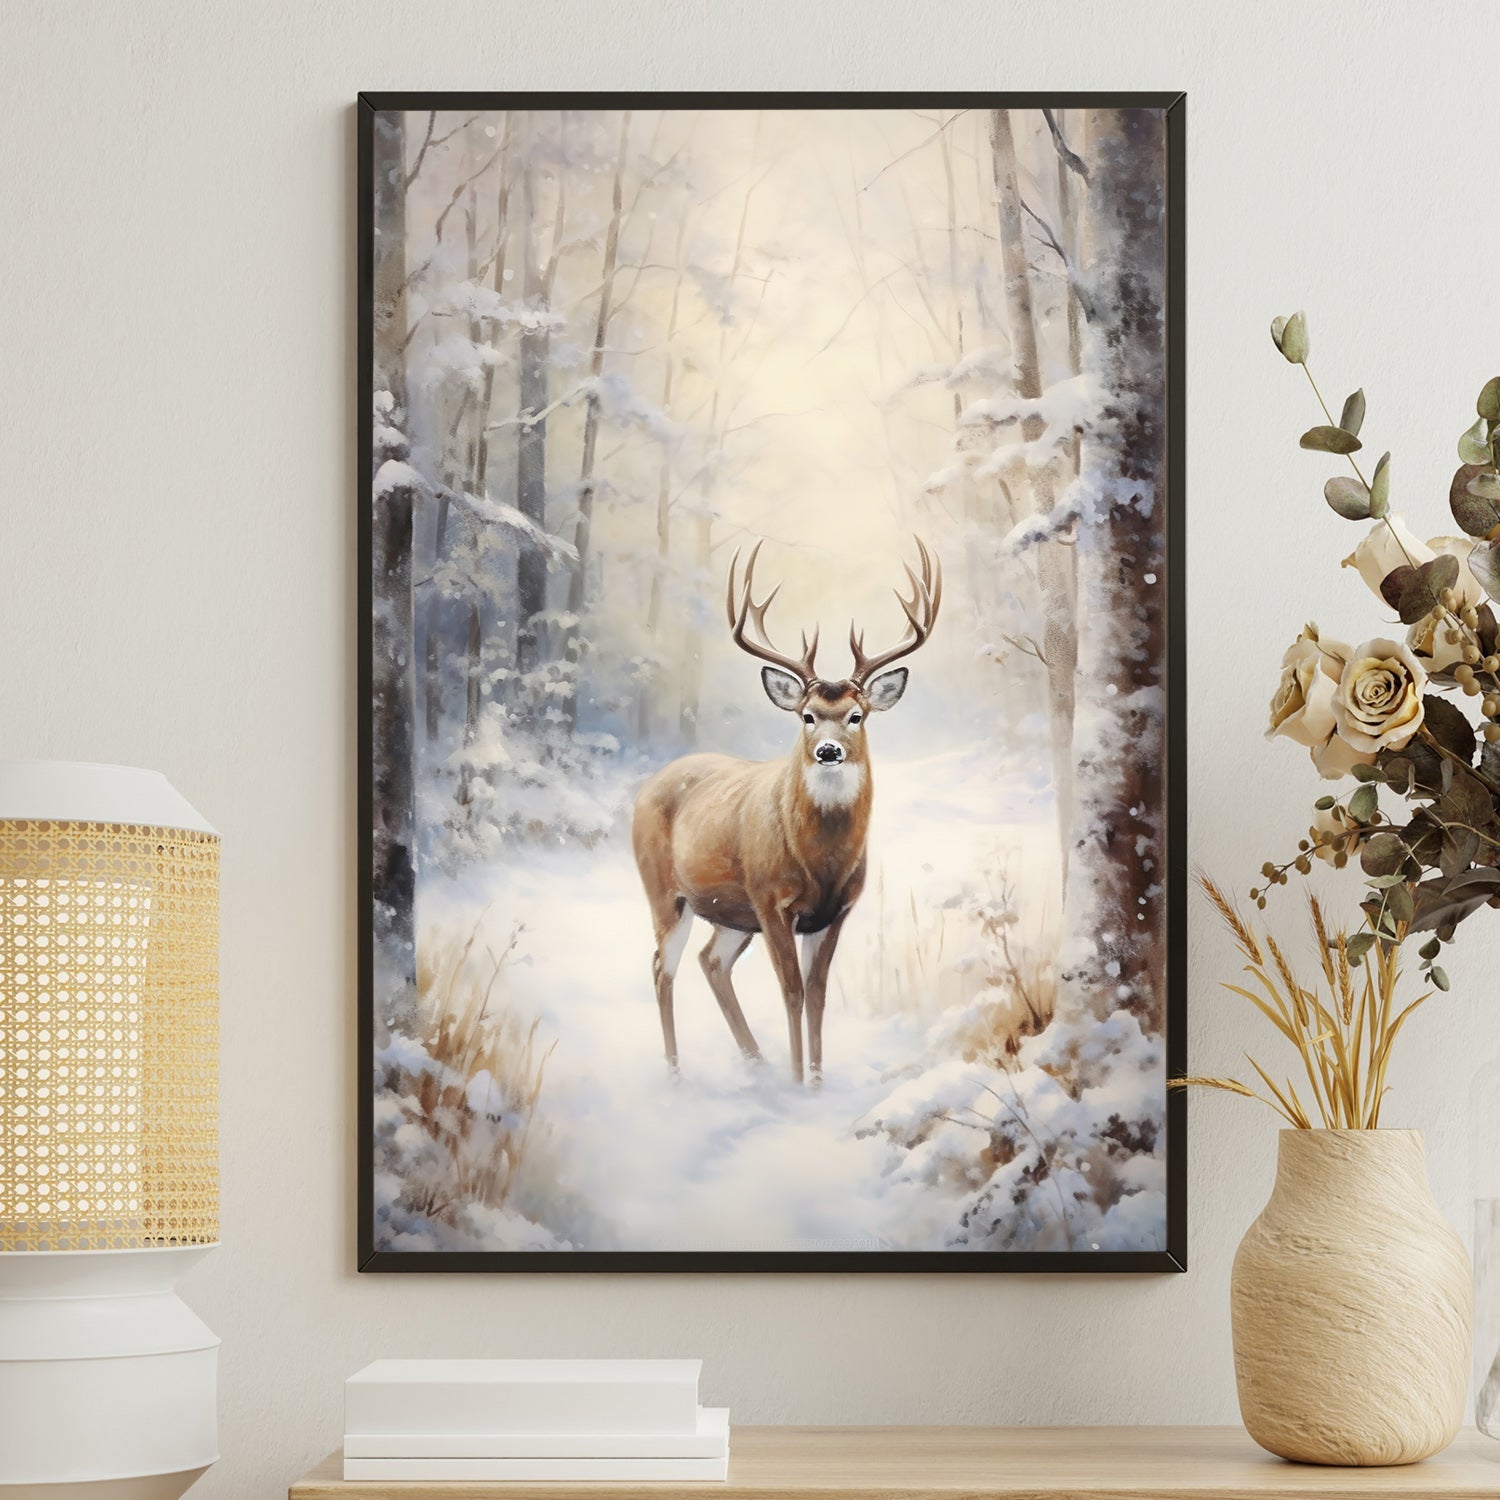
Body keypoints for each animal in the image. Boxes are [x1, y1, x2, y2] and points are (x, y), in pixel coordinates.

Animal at [631, 538, 941, 1083]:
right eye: (807, 716)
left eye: (857, 716)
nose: (828, 750)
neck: (821, 864)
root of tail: (648, 786)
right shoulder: (770, 898)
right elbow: (792, 992)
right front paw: (800, 1081)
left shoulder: (835, 910)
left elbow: (817, 996)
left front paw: (814, 1080)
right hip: (667, 891)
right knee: (662, 967)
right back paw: (675, 1070)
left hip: (730, 912)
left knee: (711, 961)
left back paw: (756, 1061)